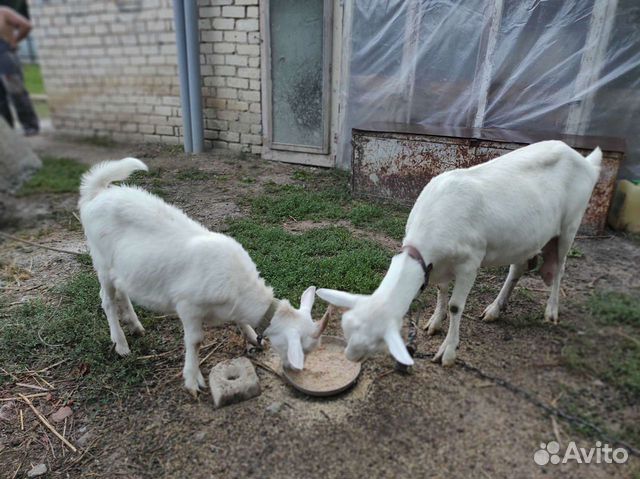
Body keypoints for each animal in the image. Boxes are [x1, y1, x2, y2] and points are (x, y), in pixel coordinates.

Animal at [78, 158, 329, 396]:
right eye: (302, 350)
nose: (297, 371)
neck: (239, 288)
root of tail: (96, 194)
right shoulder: (187, 305)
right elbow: (195, 340)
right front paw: (192, 379)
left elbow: (241, 322)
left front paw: (250, 336)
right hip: (101, 262)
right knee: (107, 300)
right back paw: (121, 344)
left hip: (122, 269)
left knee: (122, 291)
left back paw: (136, 325)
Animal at [317, 141, 602, 366]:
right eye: (347, 325)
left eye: (378, 341)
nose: (350, 357)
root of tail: (586, 160)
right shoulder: (437, 265)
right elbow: (441, 290)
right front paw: (434, 322)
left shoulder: (470, 262)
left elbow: (455, 306)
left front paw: (448, 351)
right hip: (526, 237)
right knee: (518, 268)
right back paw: (495, 309)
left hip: (571, 224)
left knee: (561, 267)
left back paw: (551, 311)